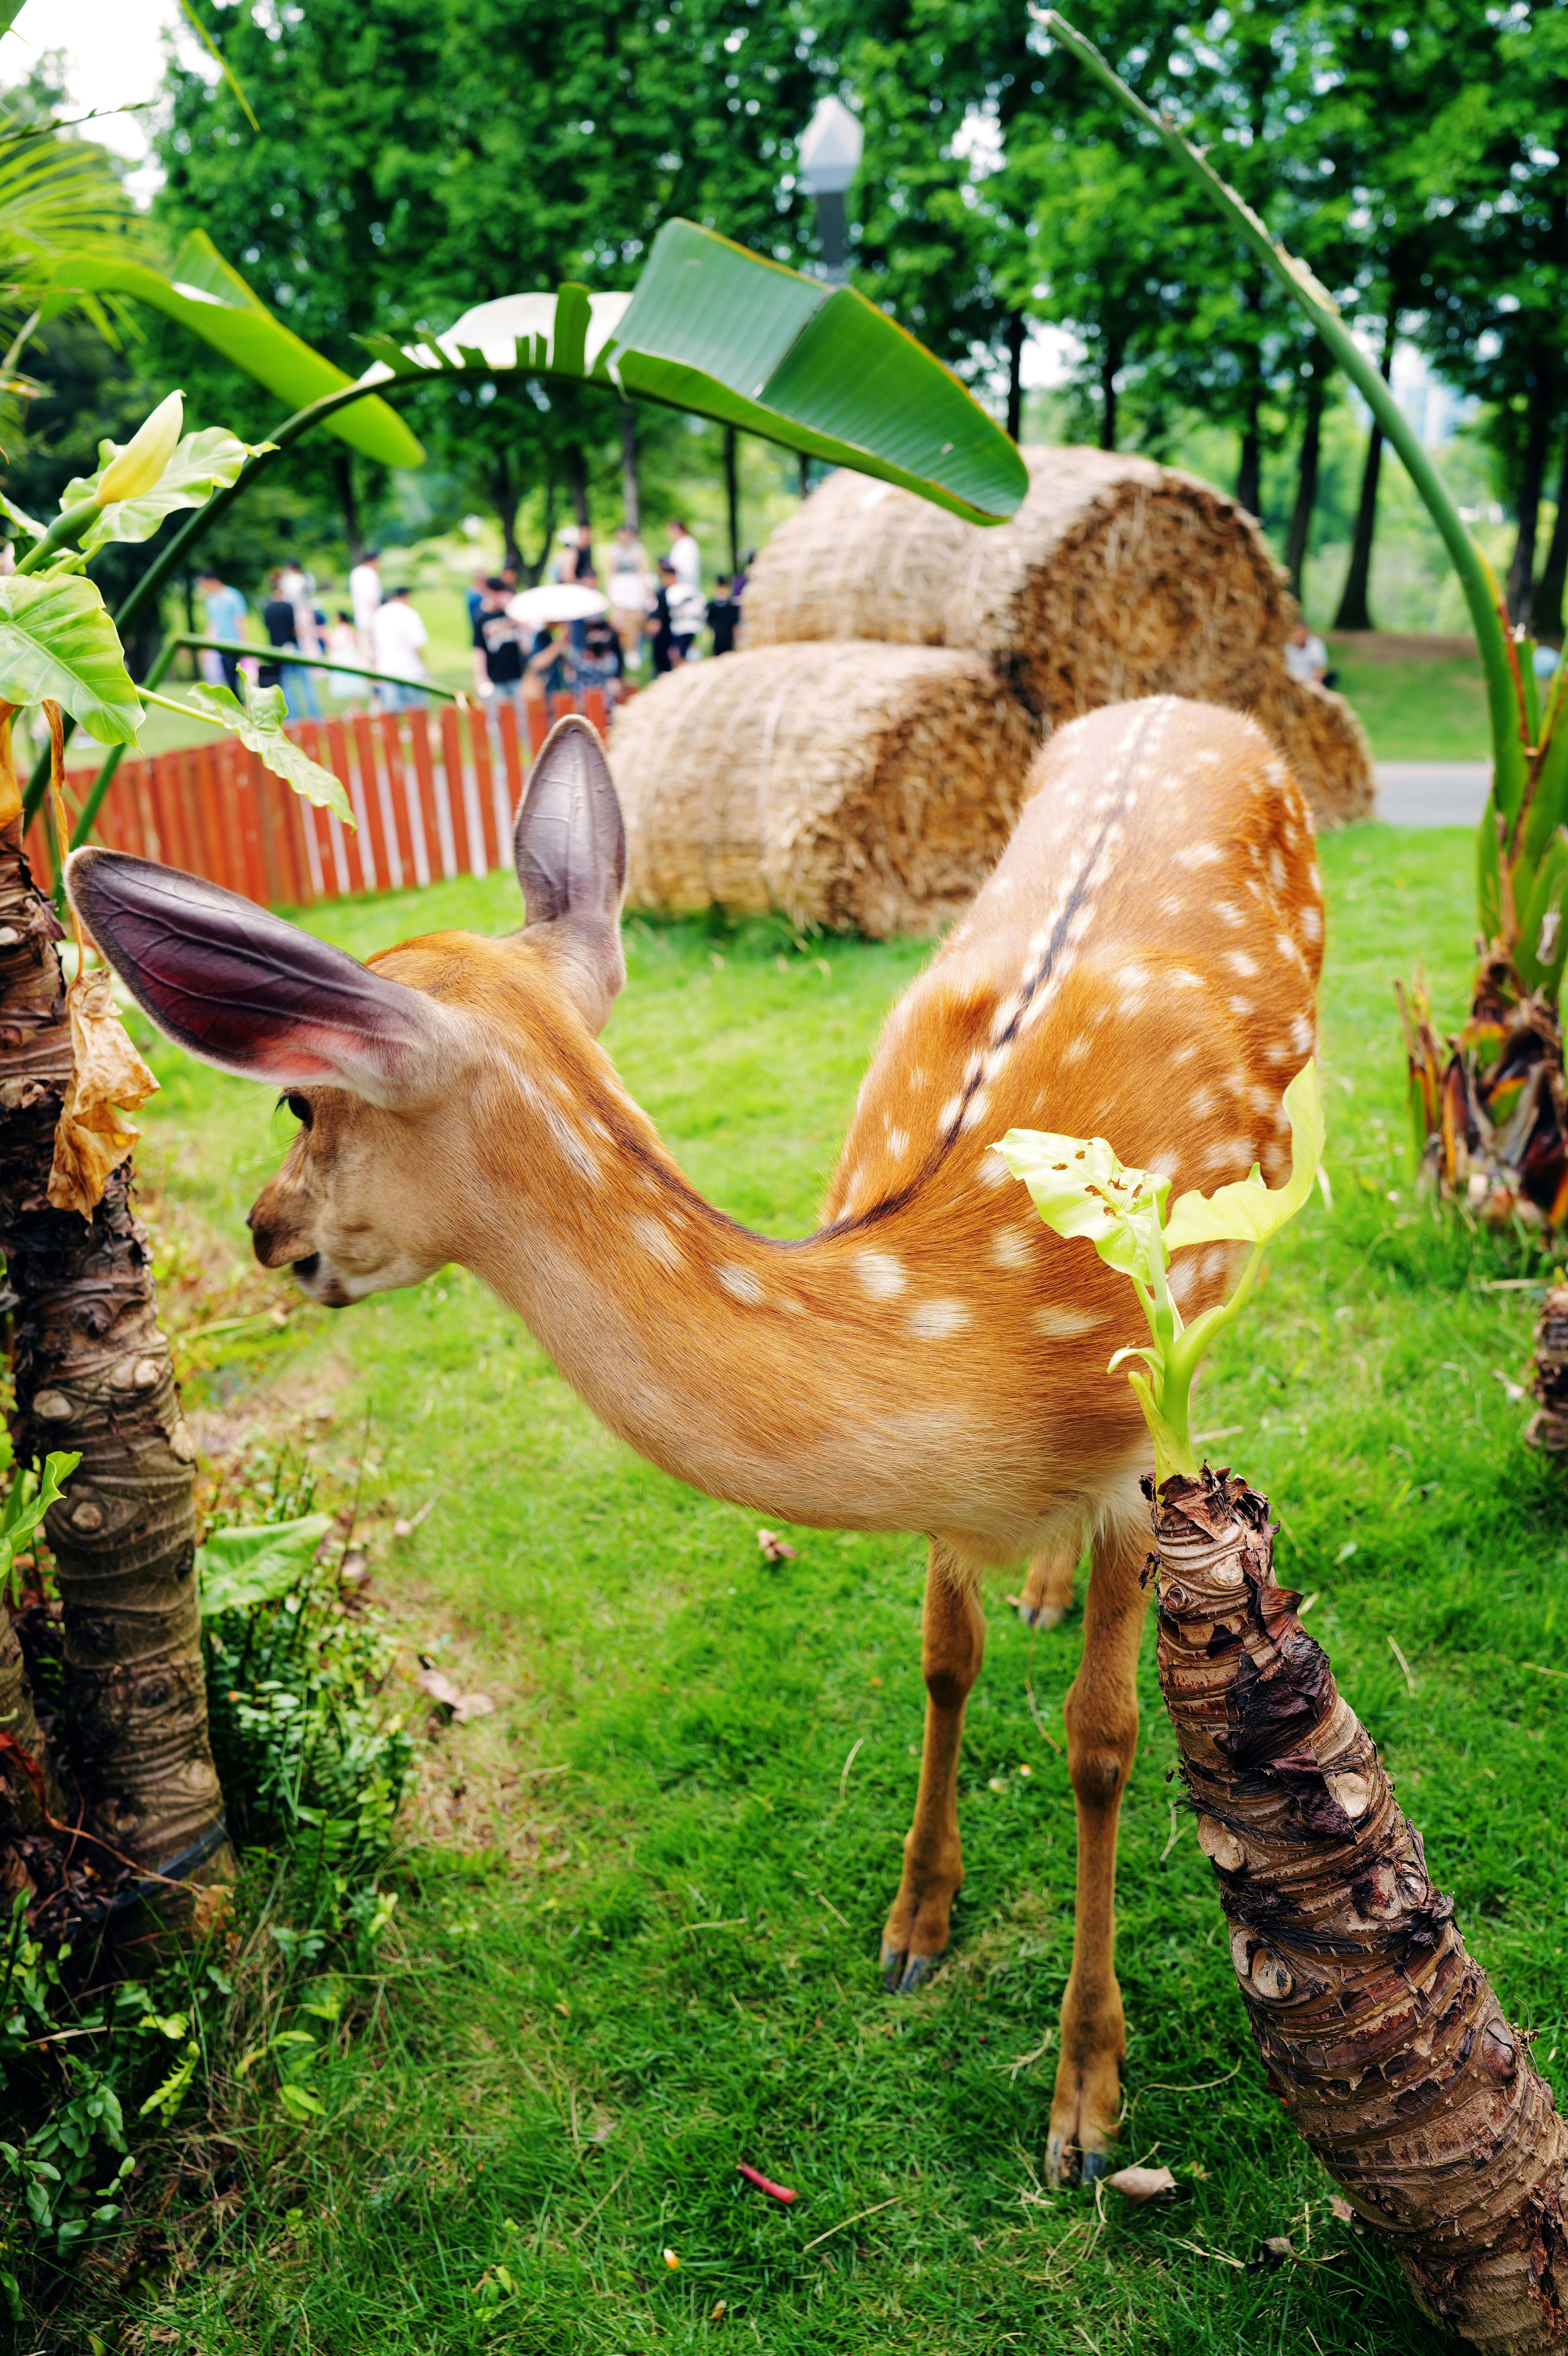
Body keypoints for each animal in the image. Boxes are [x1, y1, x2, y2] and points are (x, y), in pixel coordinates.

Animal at [69, 694, 1323, 2183]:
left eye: (299, 1102)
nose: (265, 1230)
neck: (980, 1329)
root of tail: (1187, 702)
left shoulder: (1143, 1453)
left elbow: (1102, 1743)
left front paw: (1085, 2101)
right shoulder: (951, 1501)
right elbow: (942, 1665)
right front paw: (914, 1923)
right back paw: (1040, 1584)